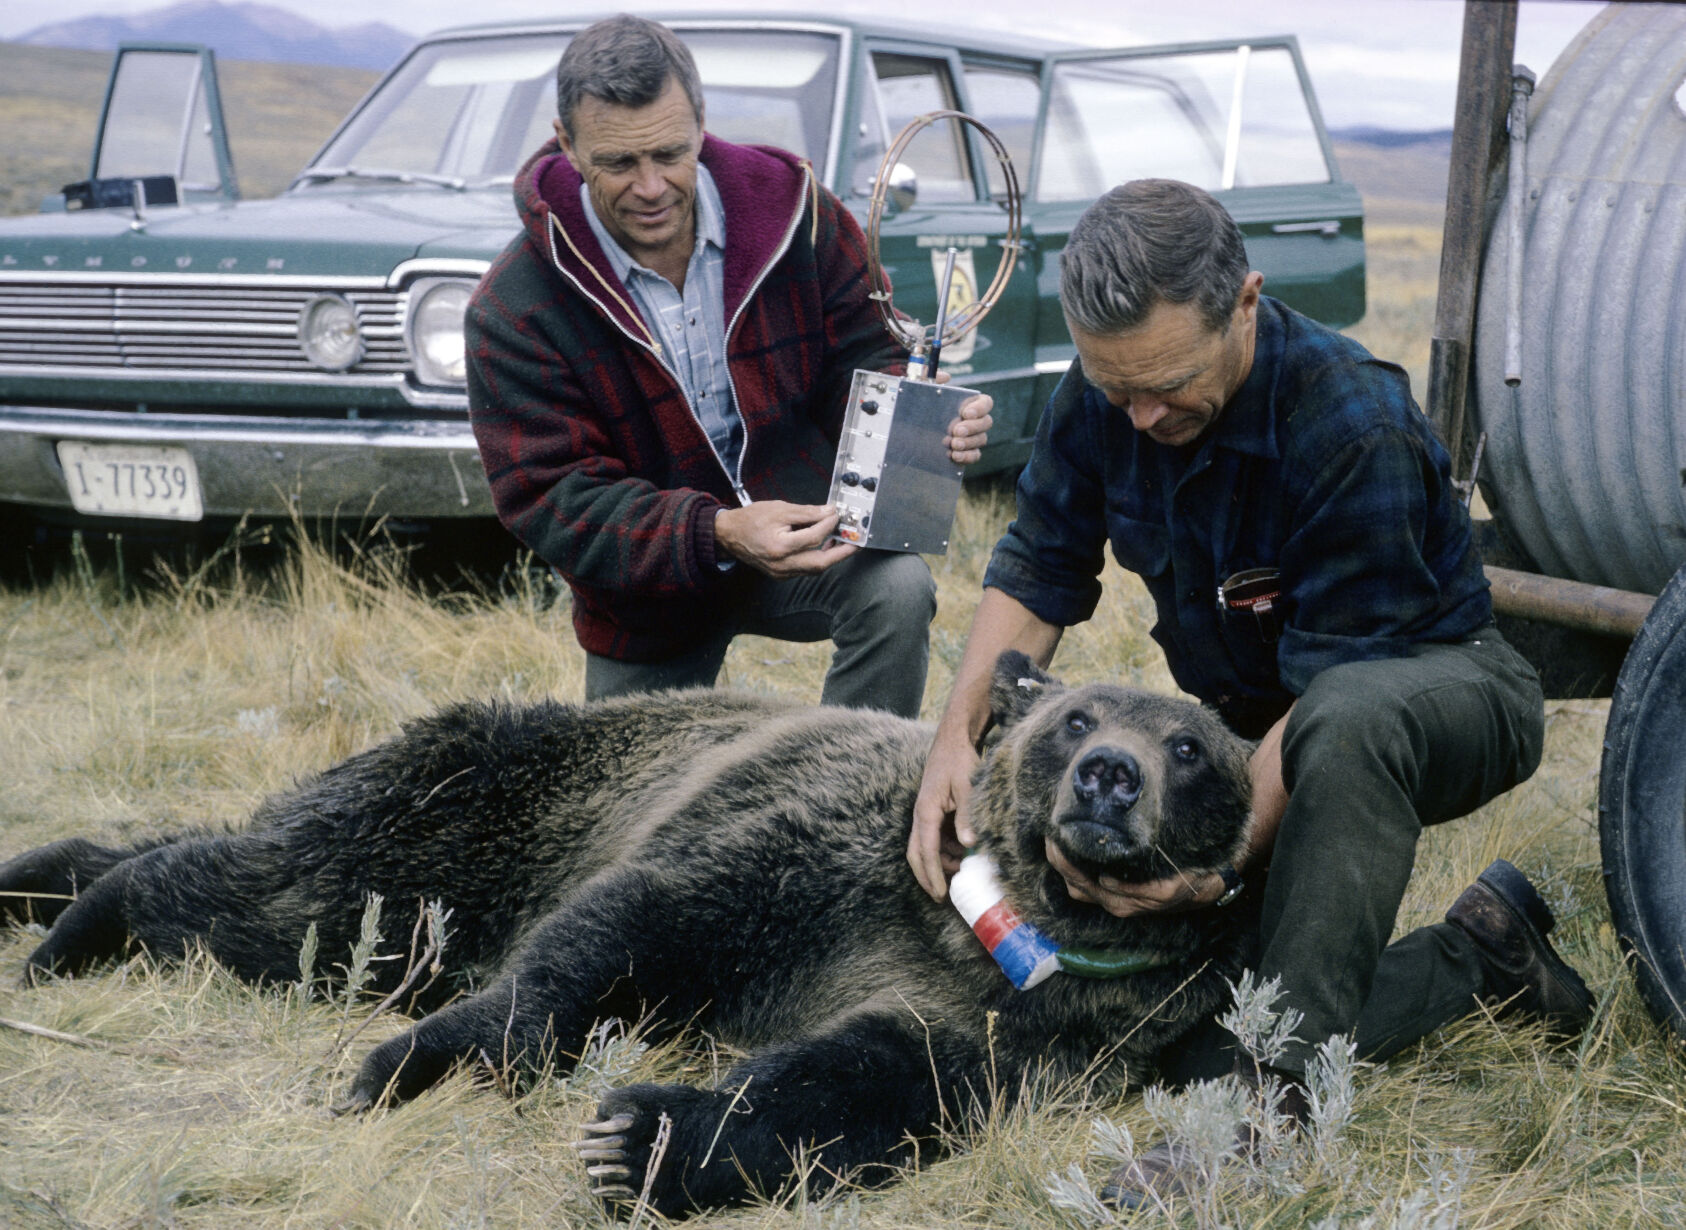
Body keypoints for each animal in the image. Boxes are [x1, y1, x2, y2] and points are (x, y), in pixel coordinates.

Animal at [0, 651, 1258, 1219]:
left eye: (1190, 745)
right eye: (1079, 718)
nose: (1108, 777)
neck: (991, 928)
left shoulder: (1024, 1033)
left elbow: (853, 1093)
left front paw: (638, 1137)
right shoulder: (820, 862)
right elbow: (640, 922)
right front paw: (421, 1060)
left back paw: (52, 886)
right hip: (481, 809)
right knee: (311, 903)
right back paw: (74, 925)